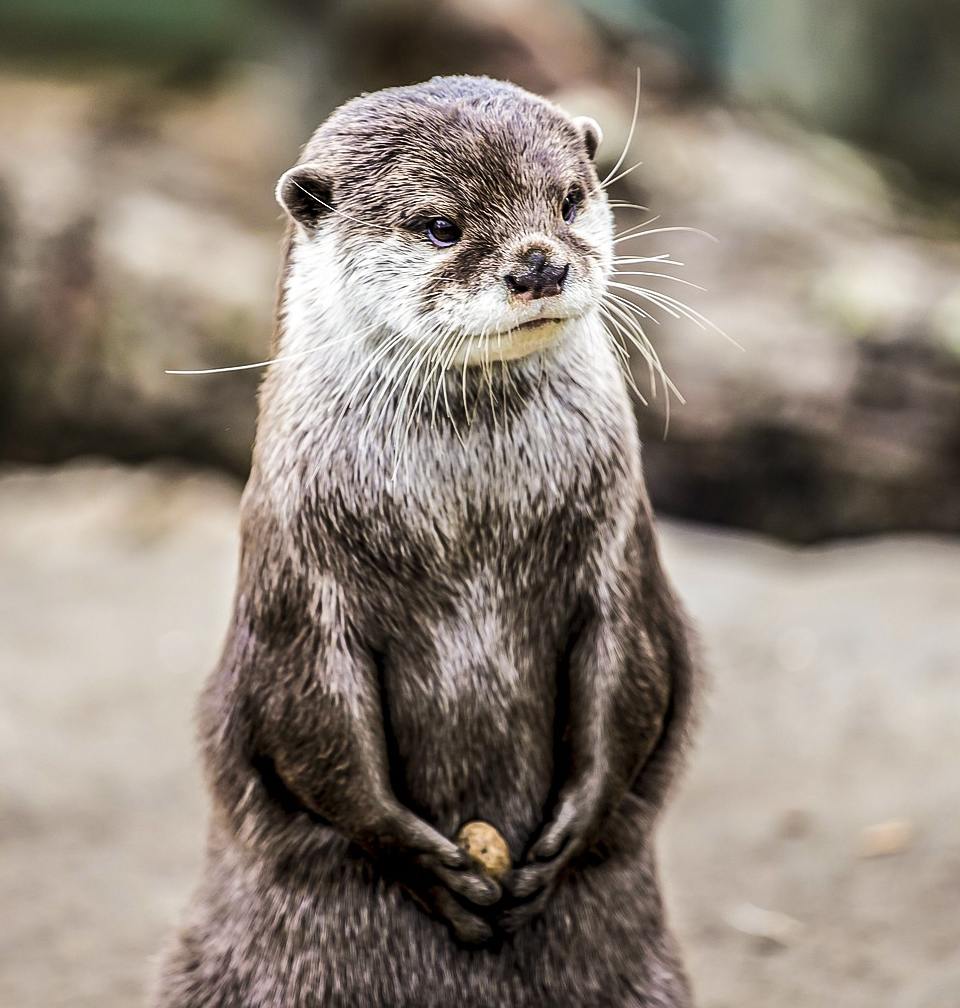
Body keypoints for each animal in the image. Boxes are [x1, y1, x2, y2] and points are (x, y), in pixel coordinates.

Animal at [155, 75, 700, 1007]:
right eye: (442, 226)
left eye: (569, 199)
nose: (540, 263)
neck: (466, 527)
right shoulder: (301, 586)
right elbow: (316, 728)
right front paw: (430, 866)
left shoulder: (618, 554)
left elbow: (631, 676)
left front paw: (569, 831)